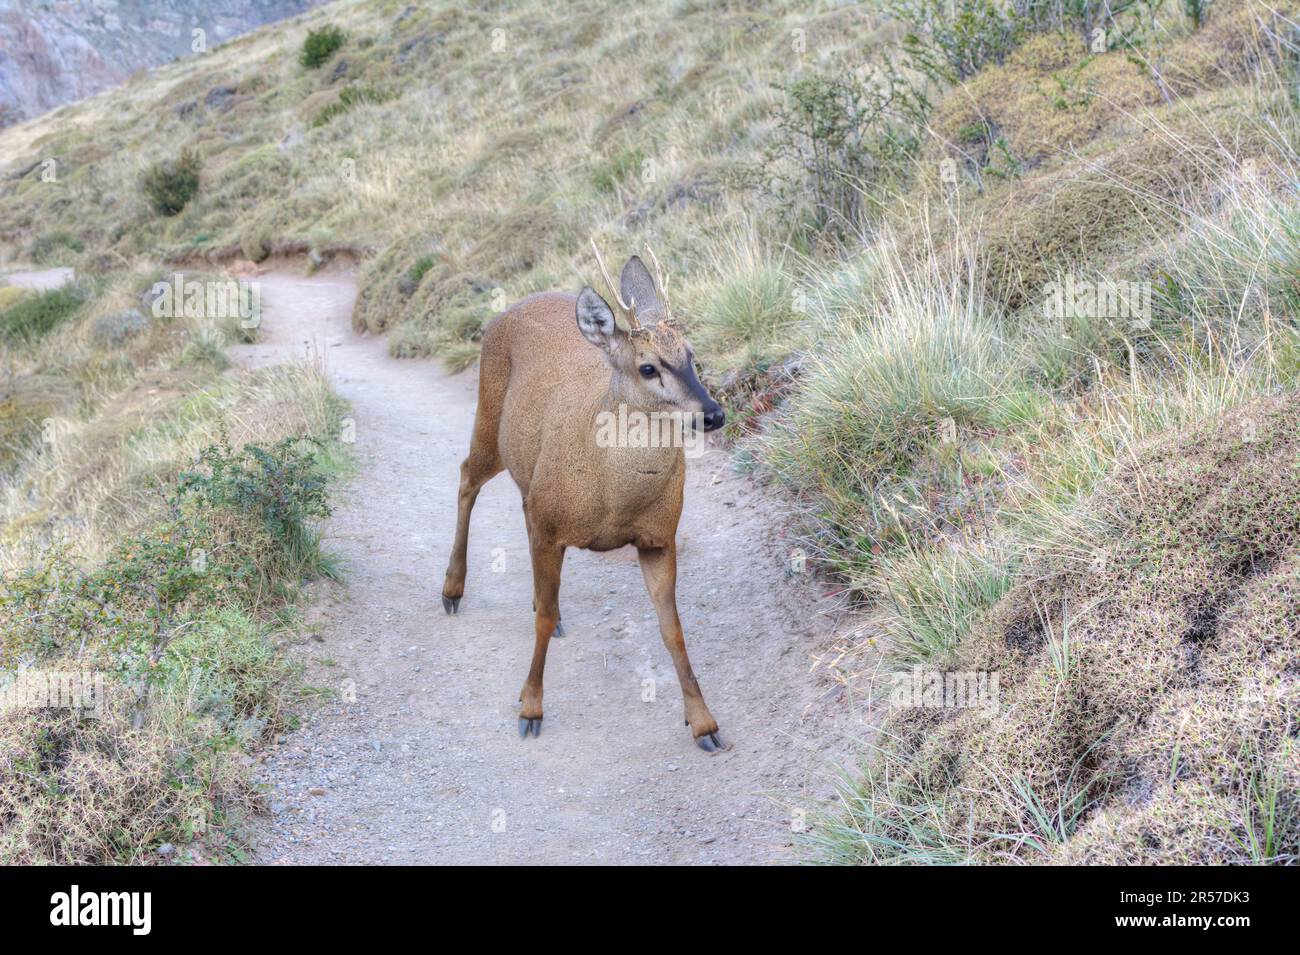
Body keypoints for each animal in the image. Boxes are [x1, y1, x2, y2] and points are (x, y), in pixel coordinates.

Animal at [440, 241, 728, 752]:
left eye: (691, 354)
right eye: (648, 367)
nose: (713, 414)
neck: (612, 496)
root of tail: (511, 306)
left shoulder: (659, 536)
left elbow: (673, 630)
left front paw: (704, 723)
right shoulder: (552, 527)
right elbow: (539, 625)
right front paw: (531, 708)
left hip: (529, 470)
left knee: (519, 505)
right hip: (489, 419)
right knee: (466, 477)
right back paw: (452, 590)